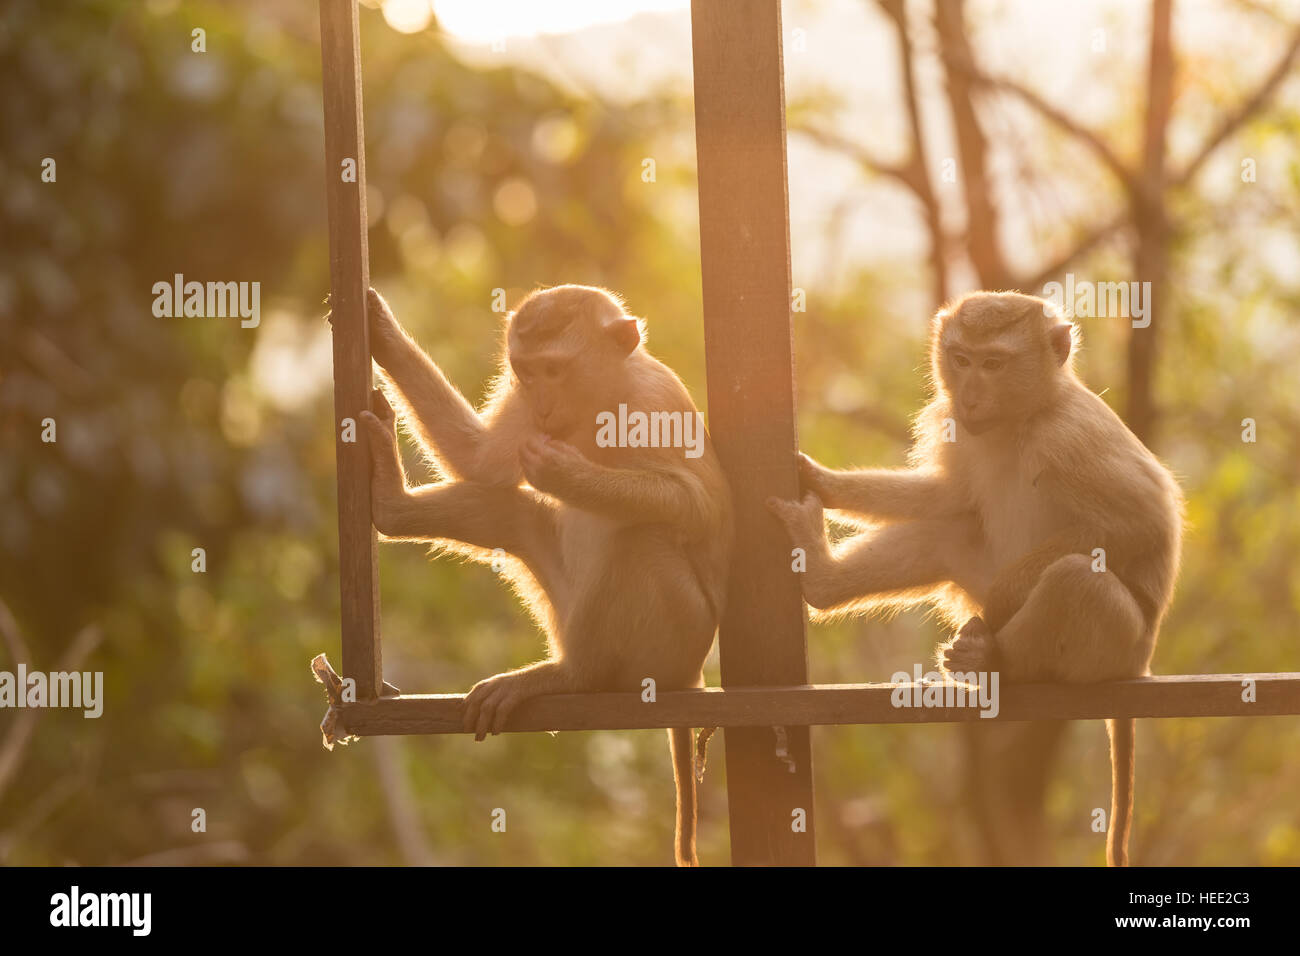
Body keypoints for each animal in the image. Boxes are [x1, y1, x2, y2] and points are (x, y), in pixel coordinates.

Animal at [352, 284, 732, 867]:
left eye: (556, 369)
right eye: (526, 372)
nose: (544, 406)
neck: (600, 402)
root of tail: (689, 675)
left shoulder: (657, 401)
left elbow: (701, 507)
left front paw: (564, 473)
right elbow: (482, 464)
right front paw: (383, 330)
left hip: (674, 641)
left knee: (643, 538)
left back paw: (577, 676)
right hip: (560, 602)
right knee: (515, 515)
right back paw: (392, 505)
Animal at [766, 290, 1183, 866]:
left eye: (994, 364)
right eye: (962, 360)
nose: (970, 396)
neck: (1020, 420)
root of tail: (1140, 664)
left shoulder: (1071, 437)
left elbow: (1141, 522)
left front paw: (1005, 600)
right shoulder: (956, 428)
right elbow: (948, 498)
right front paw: (823, 481)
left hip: (1118, 649)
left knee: (1078, 578)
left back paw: (993, 660)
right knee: (947, 533)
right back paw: (823, 579)